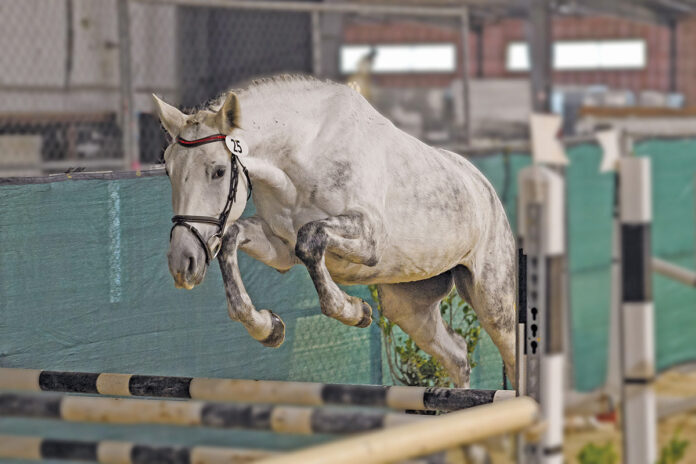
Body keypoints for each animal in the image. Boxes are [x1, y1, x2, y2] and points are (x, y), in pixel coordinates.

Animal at [154, 75, 516, 388]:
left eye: (217, 171)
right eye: (168, 170)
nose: (182, 263)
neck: (303, 155)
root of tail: (484, 186)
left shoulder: (370, 240)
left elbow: (310, 240)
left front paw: (354, 311)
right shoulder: (280, 247)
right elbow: (234, 238)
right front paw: (267, 328)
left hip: (493, 301)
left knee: (510, 351)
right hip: (409, 306)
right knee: (457, 355)